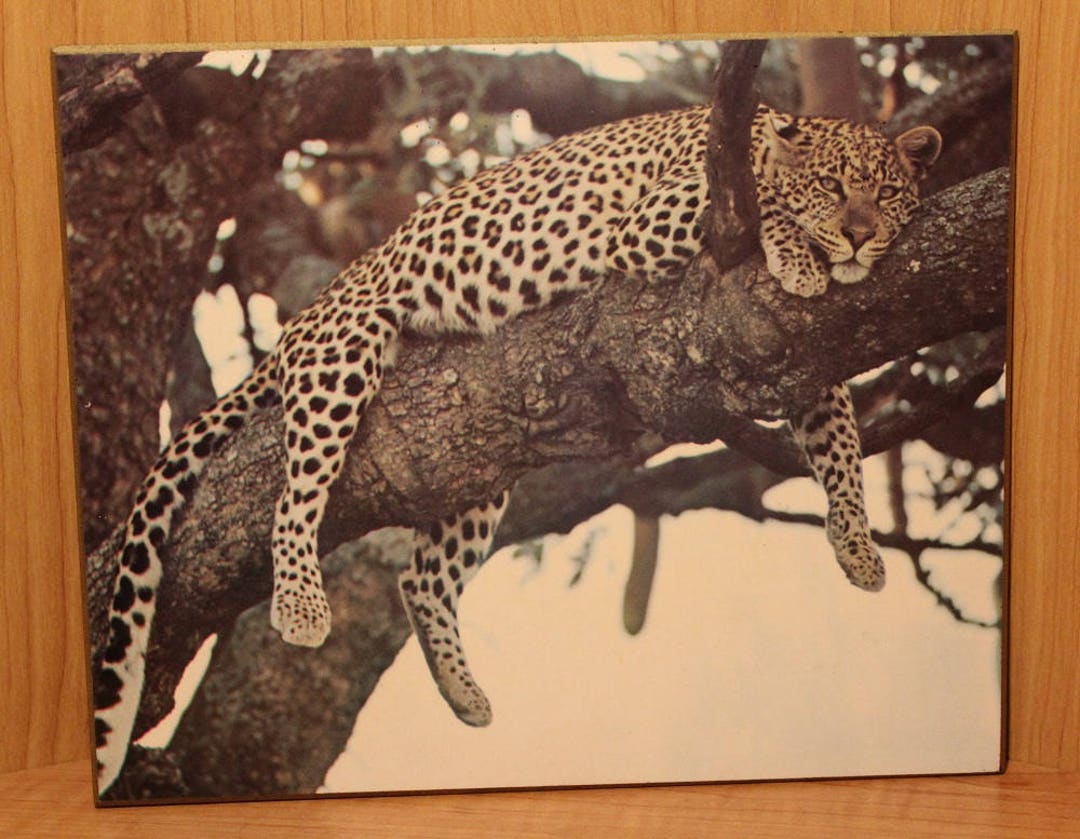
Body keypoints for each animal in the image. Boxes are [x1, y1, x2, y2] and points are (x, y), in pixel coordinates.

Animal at [92, 101, 941, 793]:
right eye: (834, 187)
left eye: (888, 195)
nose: (860, 234)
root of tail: (308, 314)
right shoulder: (655, 221)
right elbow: (768, 207)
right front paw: (797, 250)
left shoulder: (799, 350)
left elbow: (839, 435)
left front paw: (858, 546)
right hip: (345, 354)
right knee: (295, 489)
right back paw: (301, 602)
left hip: (471, 460)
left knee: (421, 577)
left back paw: (463, 692)